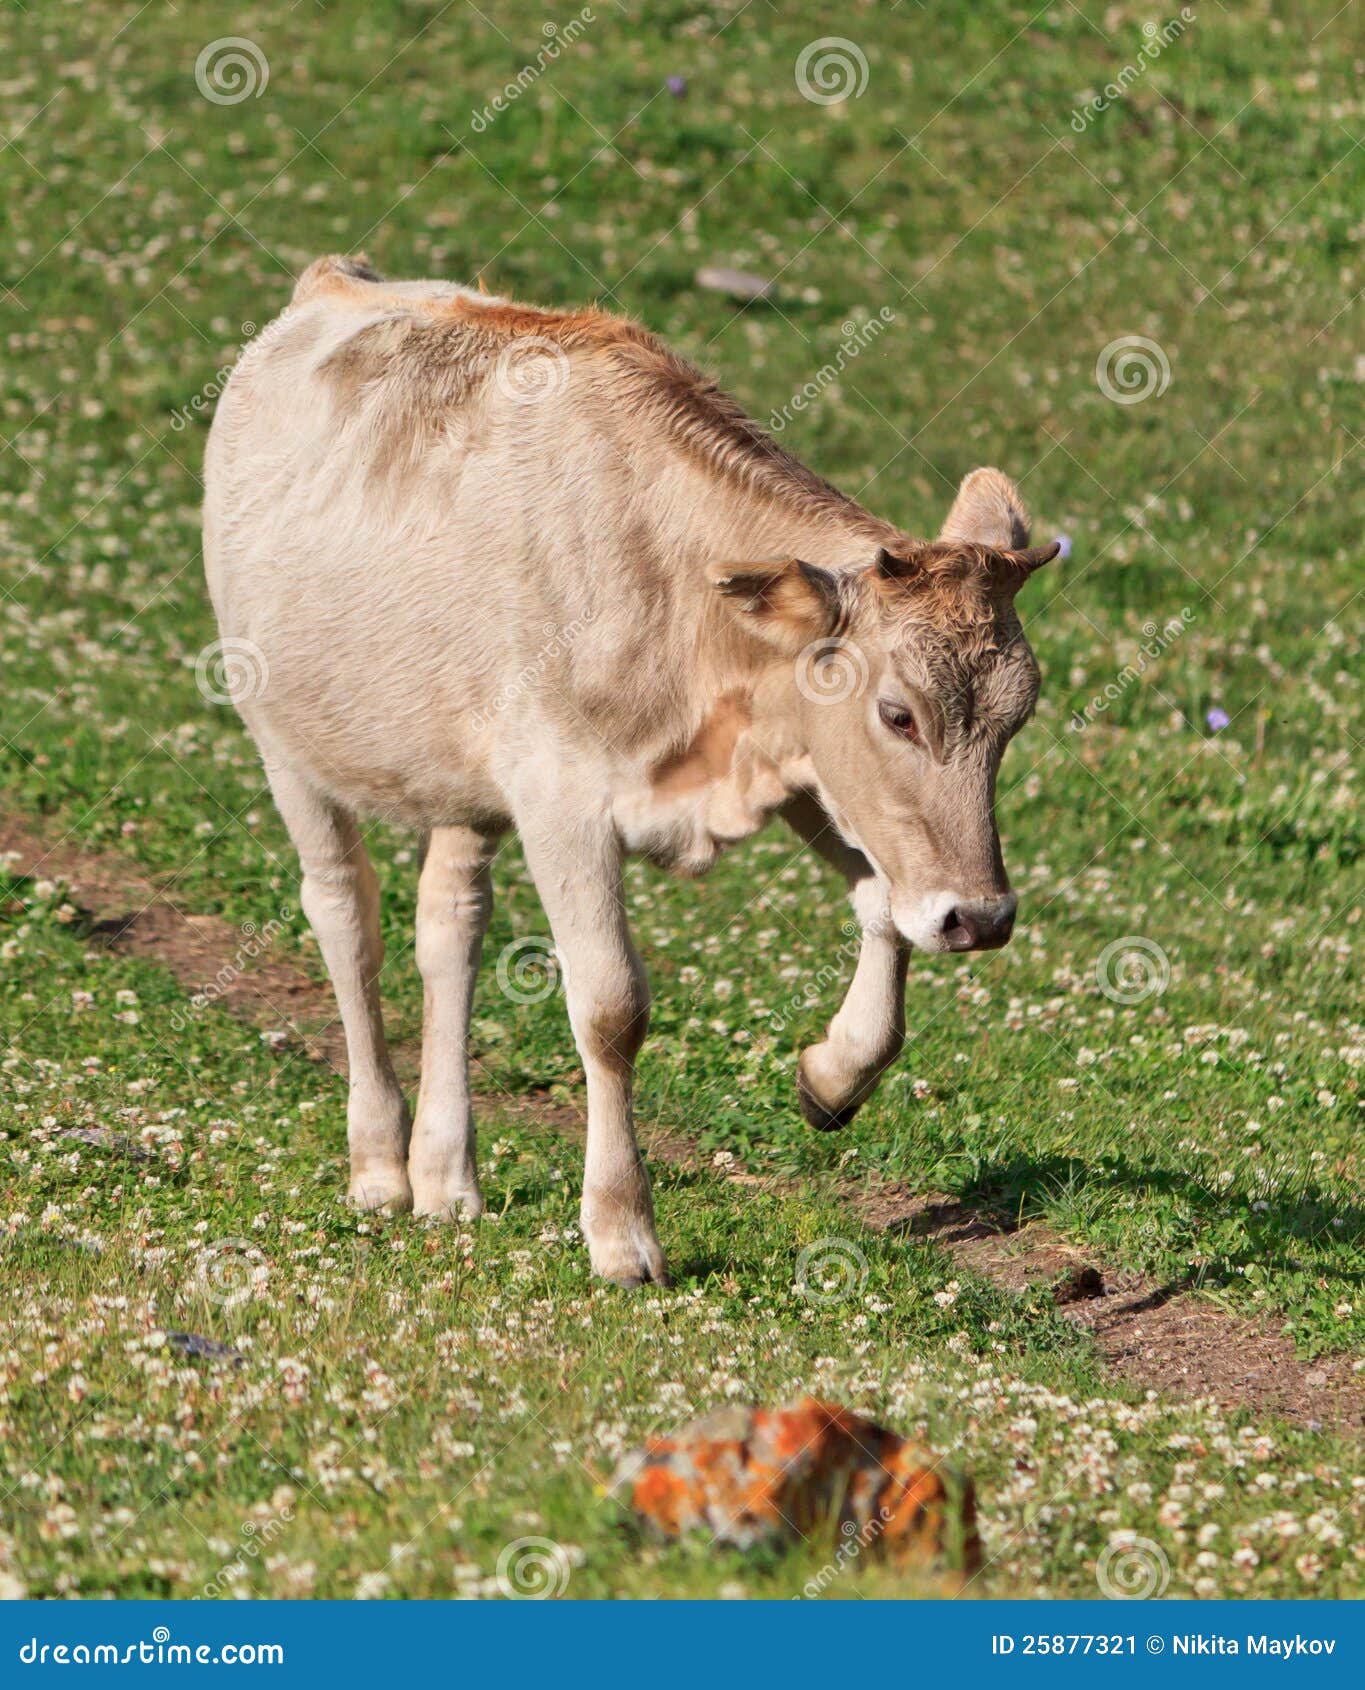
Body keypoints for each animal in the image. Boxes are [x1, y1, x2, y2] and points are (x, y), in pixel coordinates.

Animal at [203, 255, 1058, 1287]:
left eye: (1020, 713)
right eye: (897, 713)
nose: (982, 918)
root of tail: (337, 281)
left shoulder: (803, 769)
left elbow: (884, 910)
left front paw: (830, 1074)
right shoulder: (559, 797)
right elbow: (610, 1006)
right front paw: (621, 1230)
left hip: (460, 780)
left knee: (448, 930)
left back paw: (445, 1175)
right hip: (285, 738)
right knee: (344, 916)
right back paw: (378, 1163)